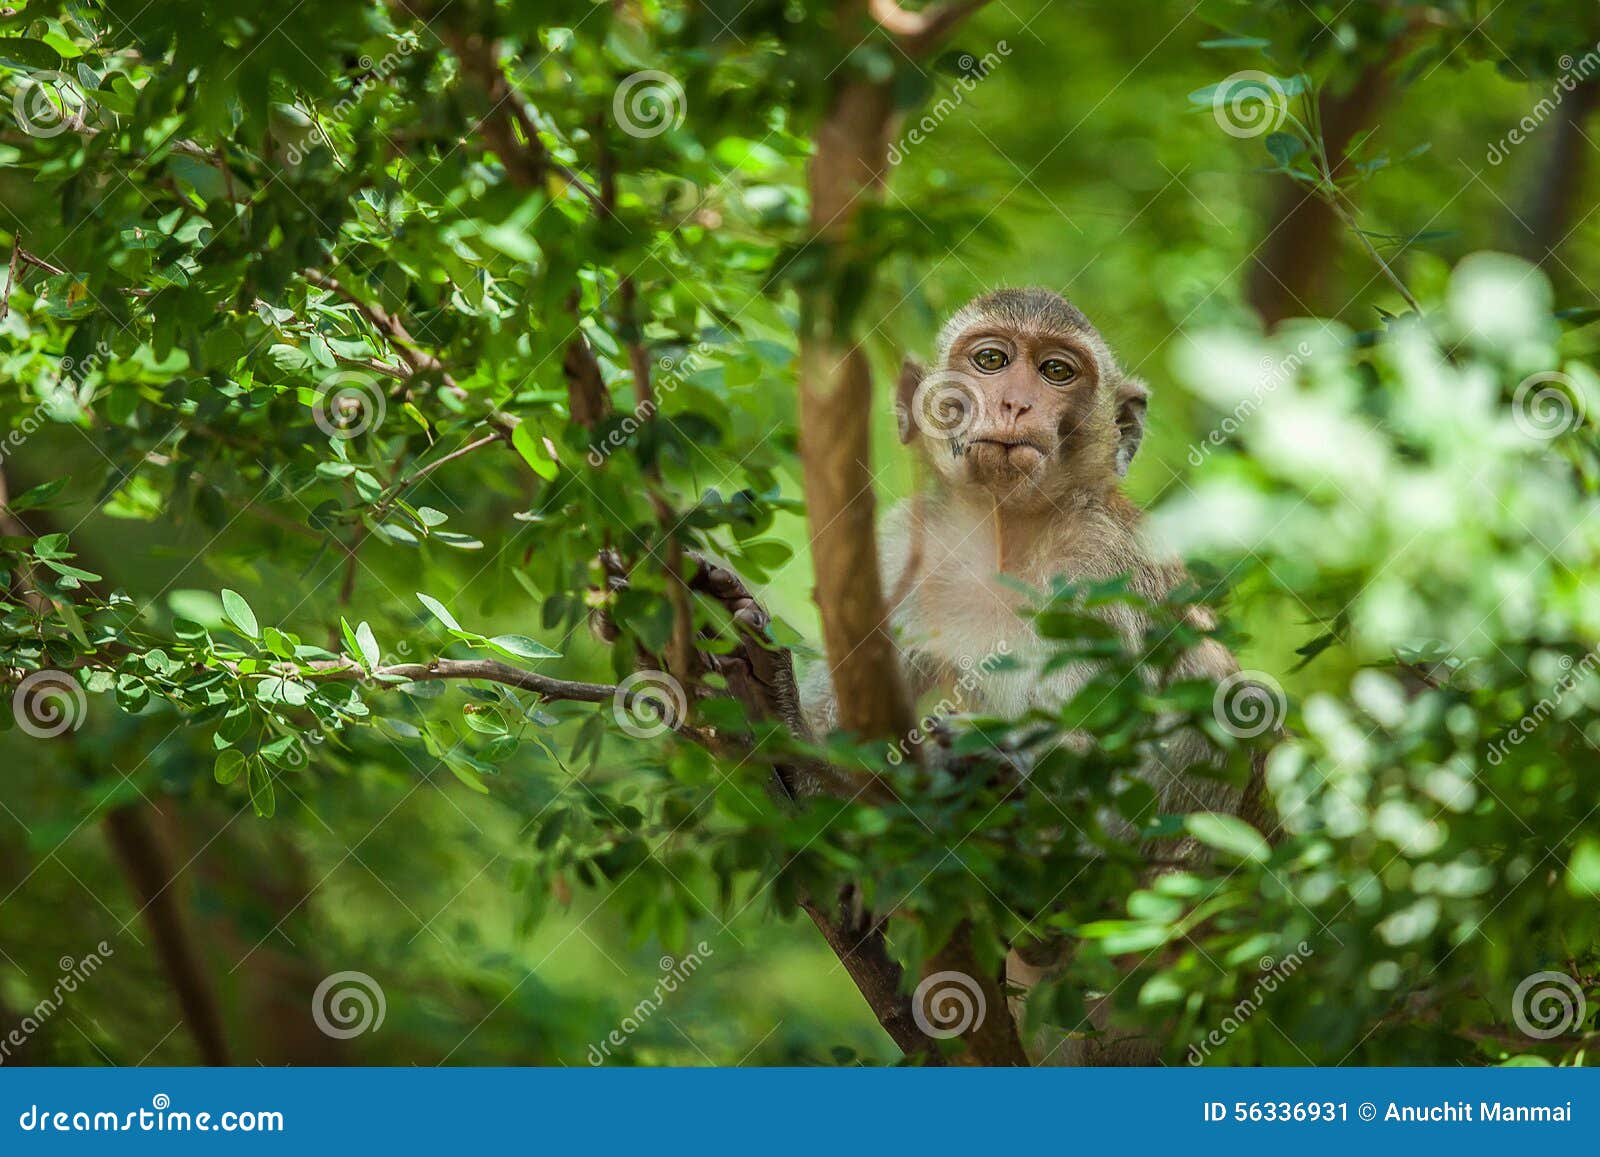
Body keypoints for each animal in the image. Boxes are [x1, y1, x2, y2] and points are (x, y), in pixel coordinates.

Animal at [800, 287, 1270, 1064]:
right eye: (991, 360)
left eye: (1056, 371)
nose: (1015, 402)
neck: (1008, 532)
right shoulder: (906, 545)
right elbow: (828, 723)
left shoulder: (1100, 564)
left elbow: (1103, 738)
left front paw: (968, 764)